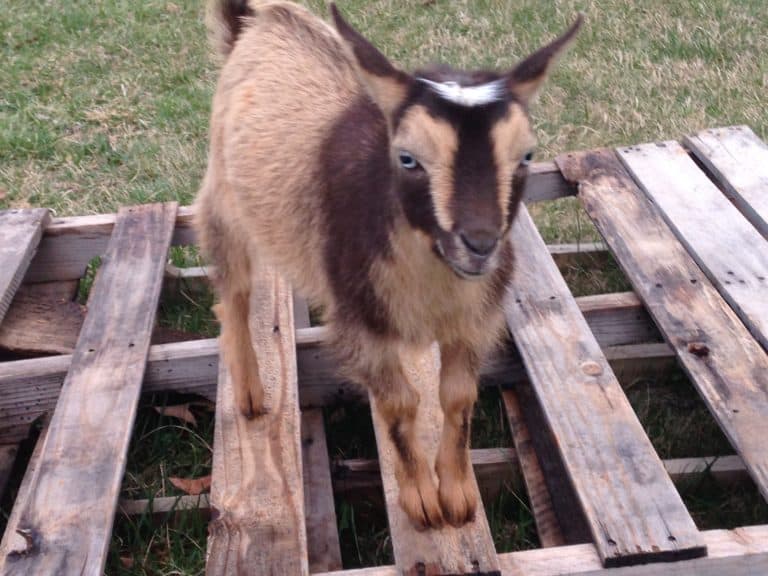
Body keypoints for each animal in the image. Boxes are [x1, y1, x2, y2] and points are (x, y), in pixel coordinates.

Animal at [196, 0, 581, 529]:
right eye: (407, 158)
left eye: (526, 156)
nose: (480, 244)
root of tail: (257, 20)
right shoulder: (362, 321)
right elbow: (400, 404)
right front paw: (422, 501)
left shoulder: (474, 318)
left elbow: (457, 397)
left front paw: (457, 495)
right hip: (223, 196)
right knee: (232, 289)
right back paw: (251, 394)